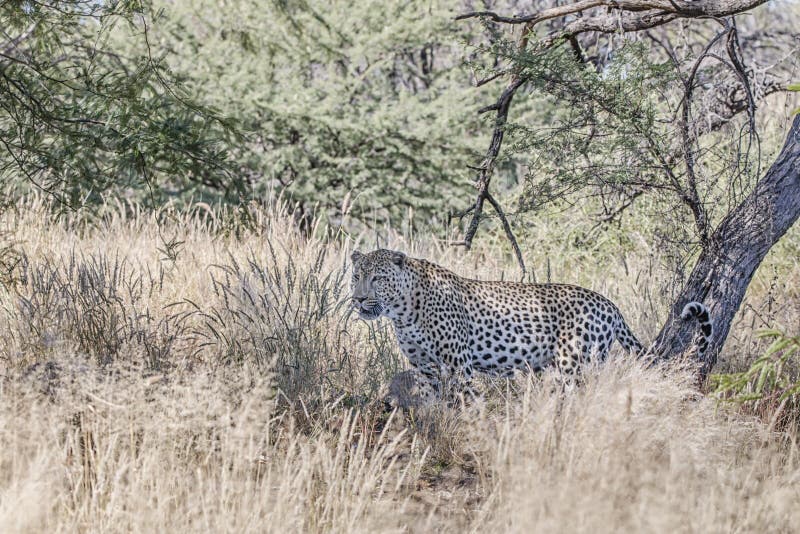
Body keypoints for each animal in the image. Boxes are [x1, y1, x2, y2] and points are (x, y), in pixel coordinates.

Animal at [350, 248, 713, 403]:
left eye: (377, 278)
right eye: (356, 276)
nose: (358, 298)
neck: (402, 311)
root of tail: (610, 305)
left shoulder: (458, 365)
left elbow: (466, 402)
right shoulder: (424, 366)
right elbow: (431, 401)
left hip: (575, 362)